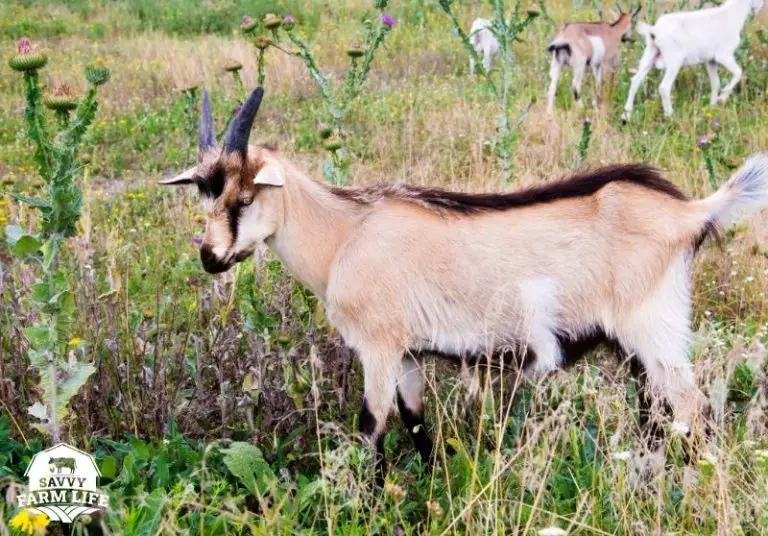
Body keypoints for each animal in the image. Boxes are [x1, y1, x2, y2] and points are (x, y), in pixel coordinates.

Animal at [162, 86, 768, 476]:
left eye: (245, 198)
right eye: (204, 195)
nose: (211, 258)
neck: (345, 235)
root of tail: (690, 213)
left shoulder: (378, 346)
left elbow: (371, 425)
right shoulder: (409, 353)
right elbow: (414, 421)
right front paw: (432, 485)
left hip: (653, 328)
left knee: (693, 410)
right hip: (637, 346)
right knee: (658, 413)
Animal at [623, 0, 764, 120]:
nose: (757, 10)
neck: (731, 15)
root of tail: (654, 31)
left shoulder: (710, 61)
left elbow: (716, 83)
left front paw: (712, 107)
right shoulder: (723, 56)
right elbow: (738, 73)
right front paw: (722, 98)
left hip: (650, 55)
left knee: (635, 80)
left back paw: (626, 115)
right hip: (674, 61)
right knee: (664, 87)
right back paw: (670, 116)